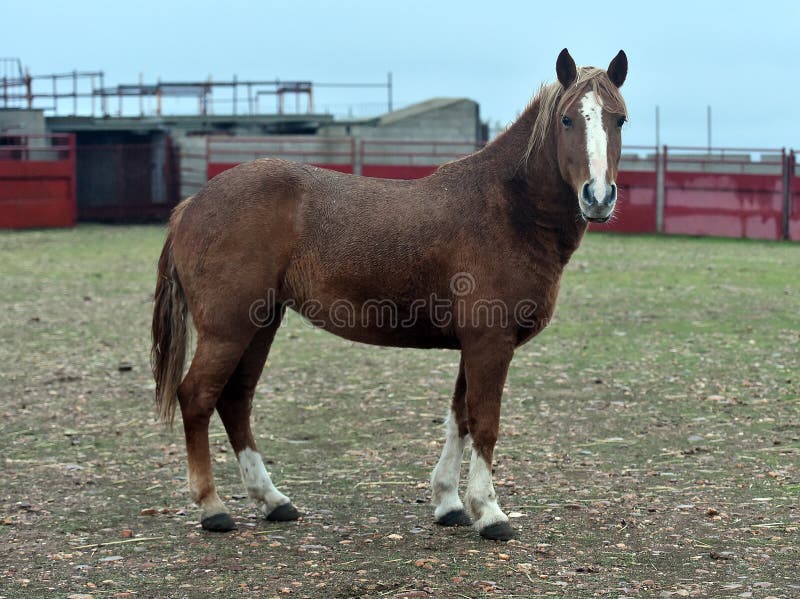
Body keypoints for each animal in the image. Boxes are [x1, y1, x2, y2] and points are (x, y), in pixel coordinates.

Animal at [151, 48, 628, 541]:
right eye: (568, 119)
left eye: (620, 119)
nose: (598, 196)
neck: (507, 210)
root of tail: (192, 205)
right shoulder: (490, 343)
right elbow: (484, 422)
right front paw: (490, 512)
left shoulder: (473, 345)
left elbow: (459, 418)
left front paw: (449, 504)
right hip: (228, 330)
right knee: (198, 397)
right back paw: (212, 507)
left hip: (260, 324)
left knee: (235, 400)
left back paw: (273, 500)